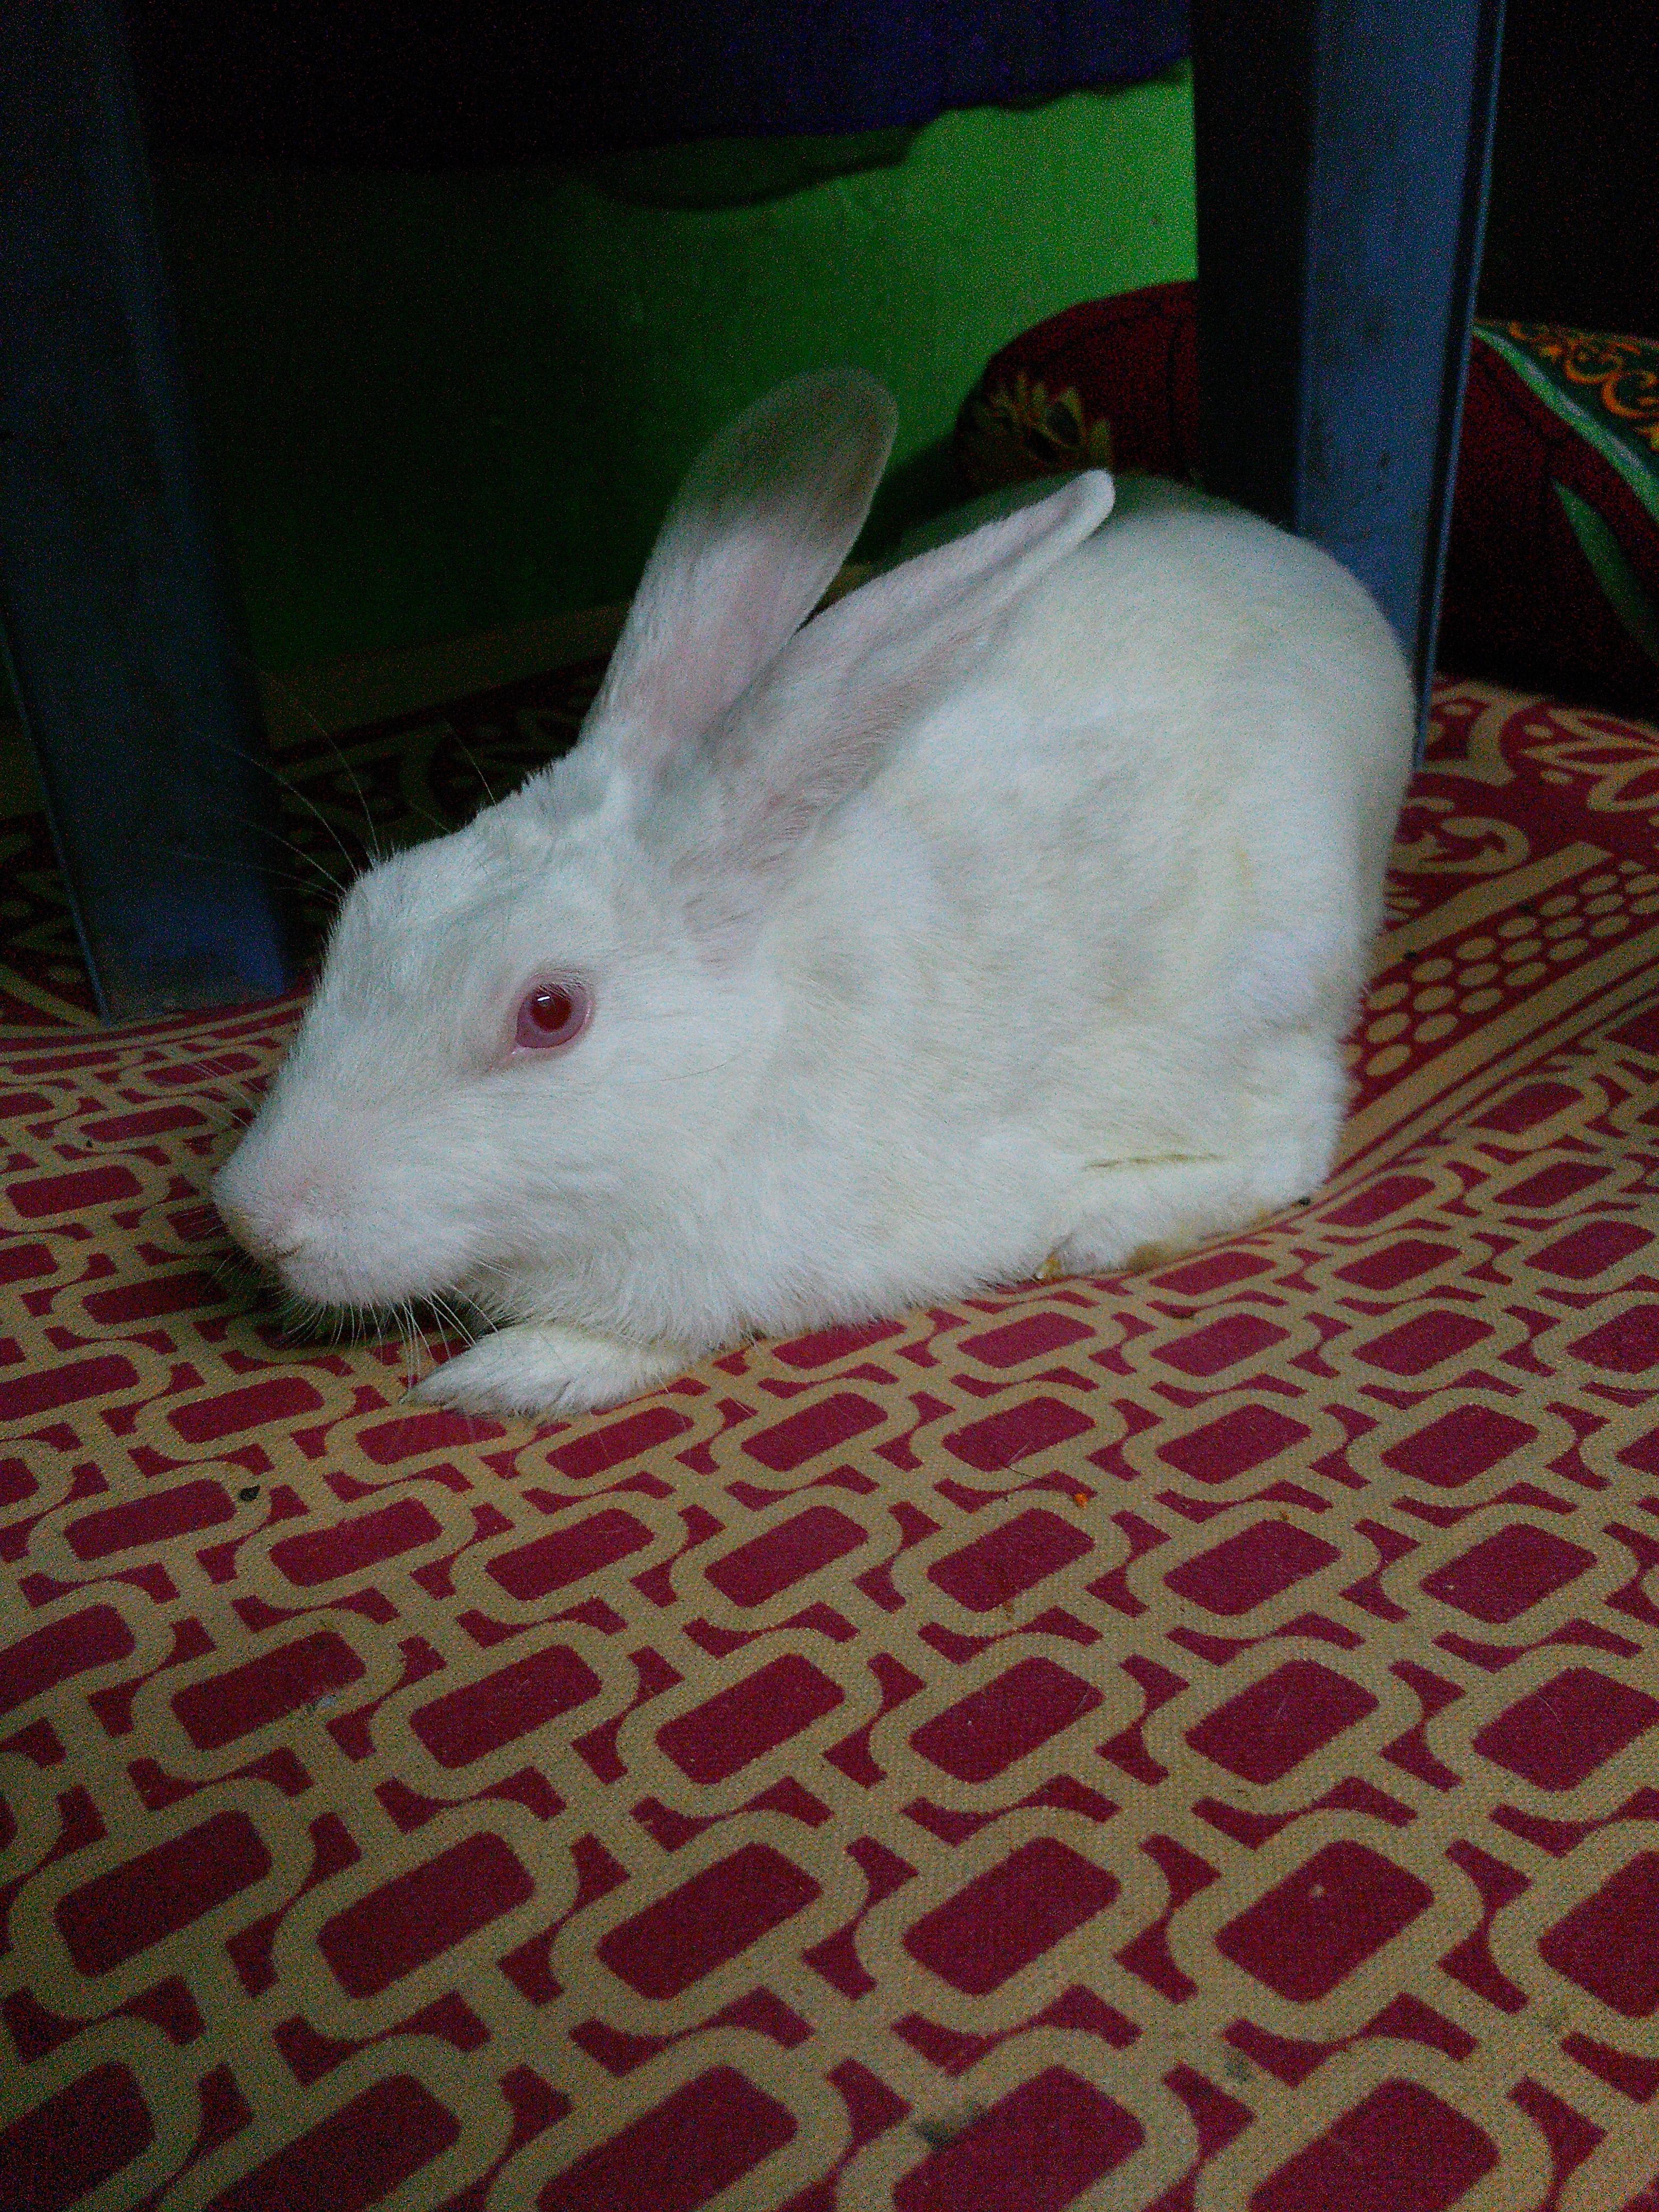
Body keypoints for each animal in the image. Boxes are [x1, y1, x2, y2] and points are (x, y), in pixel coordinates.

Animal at [213, 366, 1414, 1417]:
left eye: (549, 1012)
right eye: (368, 908)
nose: (253, 1217)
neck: (747, 1060)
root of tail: (1326, 586)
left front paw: (504, 1378)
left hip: (1265, 984)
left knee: (1299, 1135)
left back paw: (1098, 1226)